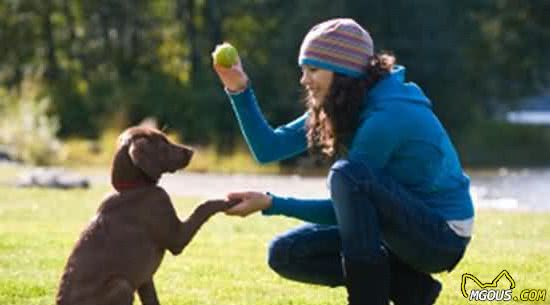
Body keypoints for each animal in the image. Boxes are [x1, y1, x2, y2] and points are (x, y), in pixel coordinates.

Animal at [56, 126, 237, 304]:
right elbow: (203, 206)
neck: (132, 187)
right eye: (163, 143)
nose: (191, 151)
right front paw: (229, 201)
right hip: (122, 285)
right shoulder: (177, 237)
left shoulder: (145, 279)